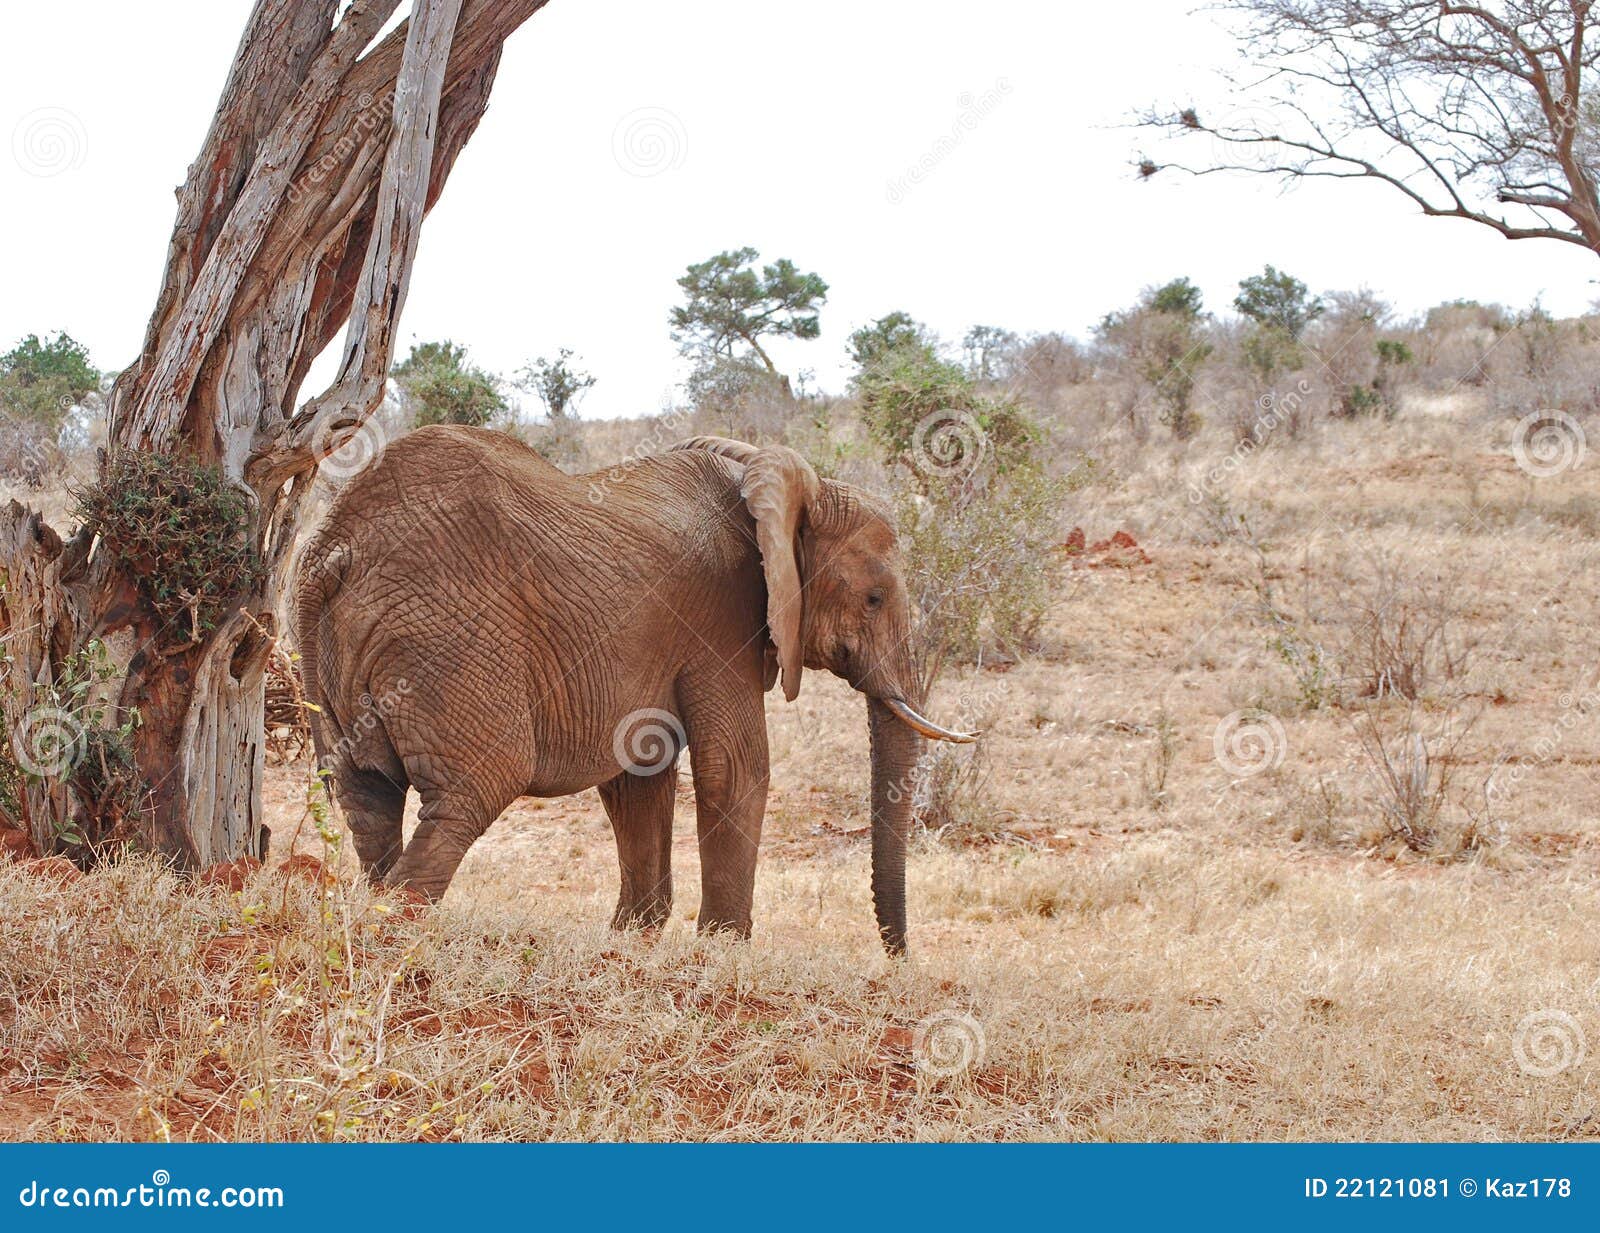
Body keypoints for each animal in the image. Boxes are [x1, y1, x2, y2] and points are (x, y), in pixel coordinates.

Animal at [293, 425, 975, 954]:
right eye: (875, 598)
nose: (899, 956)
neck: (767, 483)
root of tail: (339, 548)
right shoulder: (720, 616)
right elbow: (735, 766)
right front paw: (723, 950)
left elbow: (639, 773)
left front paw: (632, 941)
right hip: (448, 640)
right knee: (473, 790)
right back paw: (397, 939)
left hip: (329, 657)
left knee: (365, 796)